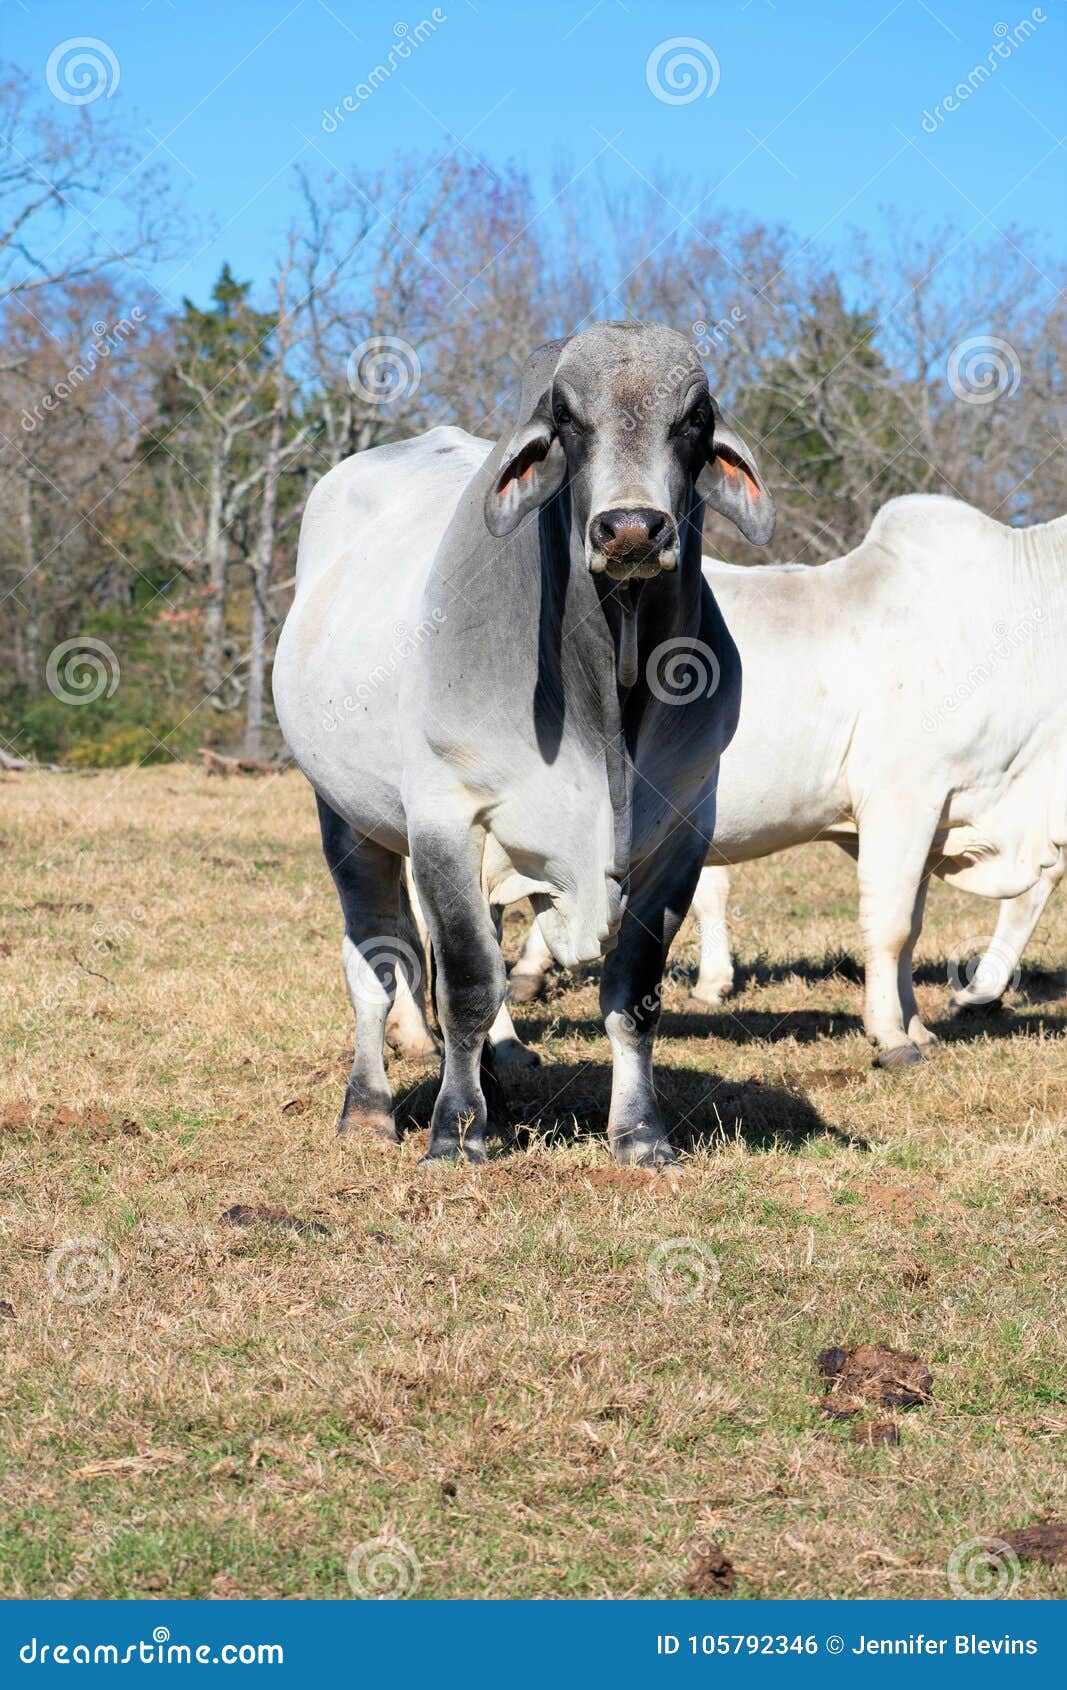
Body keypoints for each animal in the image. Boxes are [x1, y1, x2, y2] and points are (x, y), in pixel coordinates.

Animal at [272, 323, 774, 1166]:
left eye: (695, 417)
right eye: (565, 418)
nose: (630, 529)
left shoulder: (681, 830)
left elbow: (633, 993)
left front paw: (640, 1133)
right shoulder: (445, 816)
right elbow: (469, 982)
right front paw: (453, 1134)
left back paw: (496, 1101)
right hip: (344, 817)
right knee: (377, 961)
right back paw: (370, 1108)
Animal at [493, 498, 1067, 1066]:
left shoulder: (935, 820)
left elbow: (914, 928)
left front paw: (918, 1027)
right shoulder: (902, 799)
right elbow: (892, 925)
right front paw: (892, 1036)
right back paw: (507, 1044)